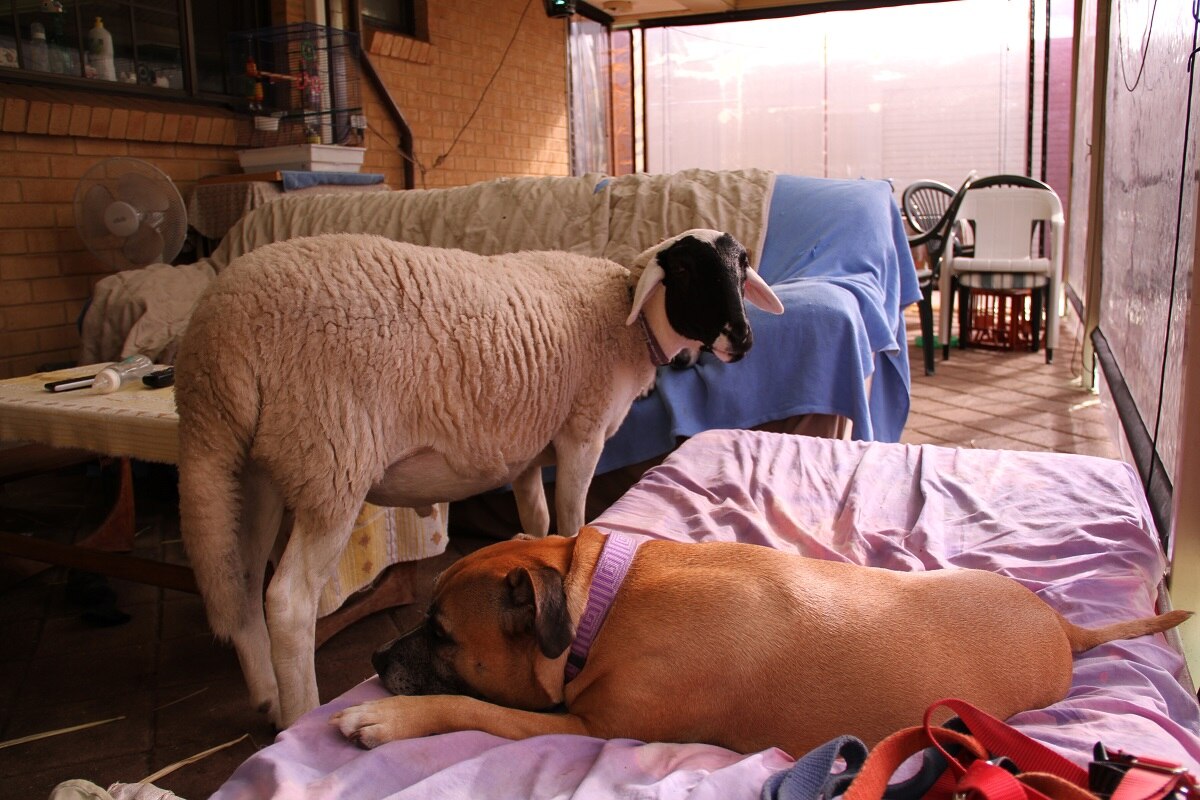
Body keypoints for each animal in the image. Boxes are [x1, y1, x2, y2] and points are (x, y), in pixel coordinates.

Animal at [174, 229, 783, 728]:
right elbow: (573, 518)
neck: (624, 321)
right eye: (685, 270)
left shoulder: (527, 453)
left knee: (240, 584)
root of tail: (215, 342)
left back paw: (266, 698)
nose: (743, 339)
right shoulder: (580, 433)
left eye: (741, 267)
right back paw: (298, 713)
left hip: (256, 465)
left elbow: (538, 519)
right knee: (288, 601)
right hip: (331, 453)